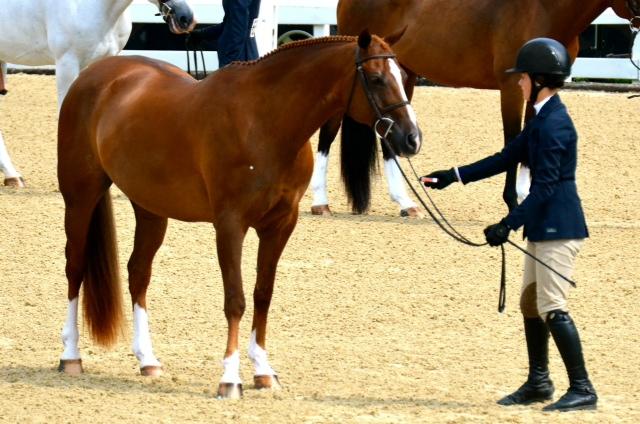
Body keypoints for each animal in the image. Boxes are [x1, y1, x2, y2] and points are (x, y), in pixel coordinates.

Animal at [56, 32, 422, 399]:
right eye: (375, 78)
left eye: (405, 77)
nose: (412, 139)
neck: (264, 122)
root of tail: (94, 75)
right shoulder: (230, 225)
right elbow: (236, 299)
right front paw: (230, 378)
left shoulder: (280, 225)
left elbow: (263, 295)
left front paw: (263, 370)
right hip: (81, 197)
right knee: (75, 268)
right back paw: (70, 356)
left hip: (150, 210)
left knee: (138, 274)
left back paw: (148, 360)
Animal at [310, 0, 640, 217]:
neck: (542, 11)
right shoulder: (511, 88)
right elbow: (512, 141)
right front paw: (512, 201)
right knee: (328, 133)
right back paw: (320, 202)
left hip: (403, 78)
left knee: (389, 137)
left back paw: (405, 203)